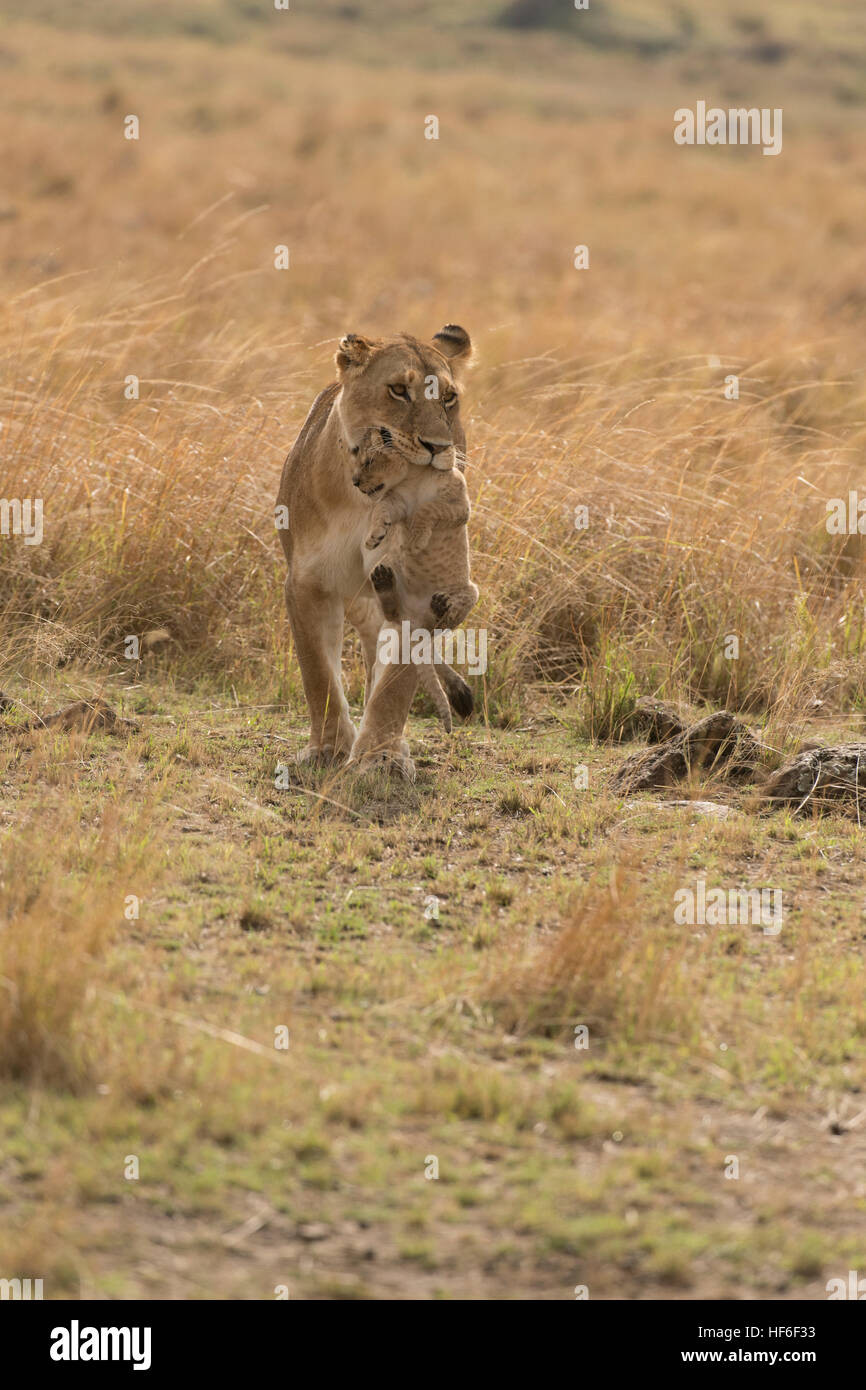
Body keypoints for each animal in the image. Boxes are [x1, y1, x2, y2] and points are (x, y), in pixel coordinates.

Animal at [276, 325, 474, 780]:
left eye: (449, 397)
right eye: (399, 390)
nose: (439, 446)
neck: (363, 504)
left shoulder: (415, 592)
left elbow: (396, 683)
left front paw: (380, 757)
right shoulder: (308, 583)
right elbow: (318, 673)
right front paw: (328, 749)